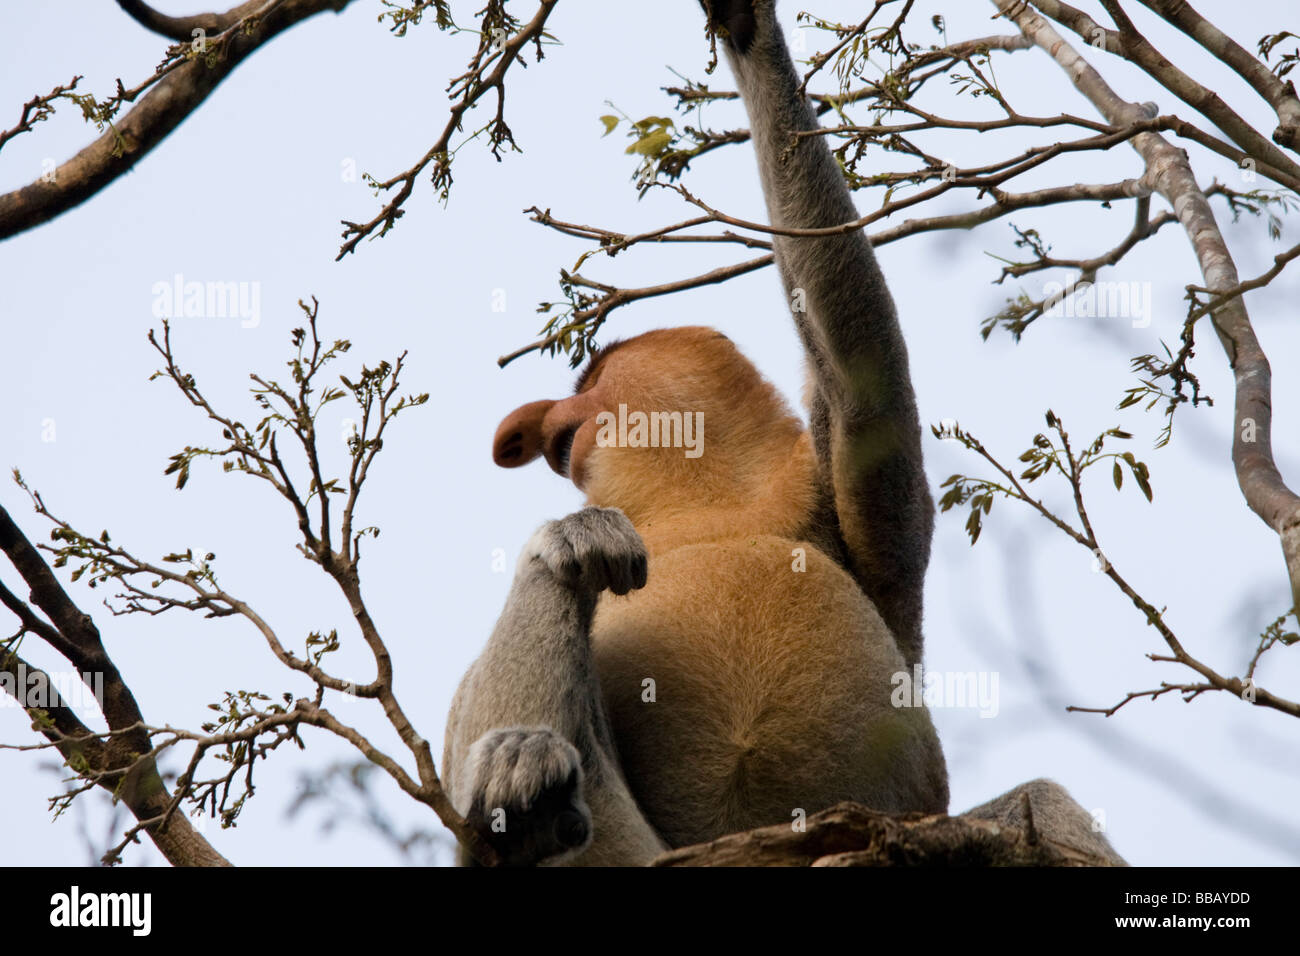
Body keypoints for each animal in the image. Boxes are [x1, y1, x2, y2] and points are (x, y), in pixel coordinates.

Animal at [442, 0, 1125, 867]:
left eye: (589, 375)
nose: (523, 429)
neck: (708, 504)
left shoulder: (831, 495)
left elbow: (858, 365)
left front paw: (747, 32)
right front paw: (569, 545)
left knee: (1040, 805)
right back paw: (526, 795)